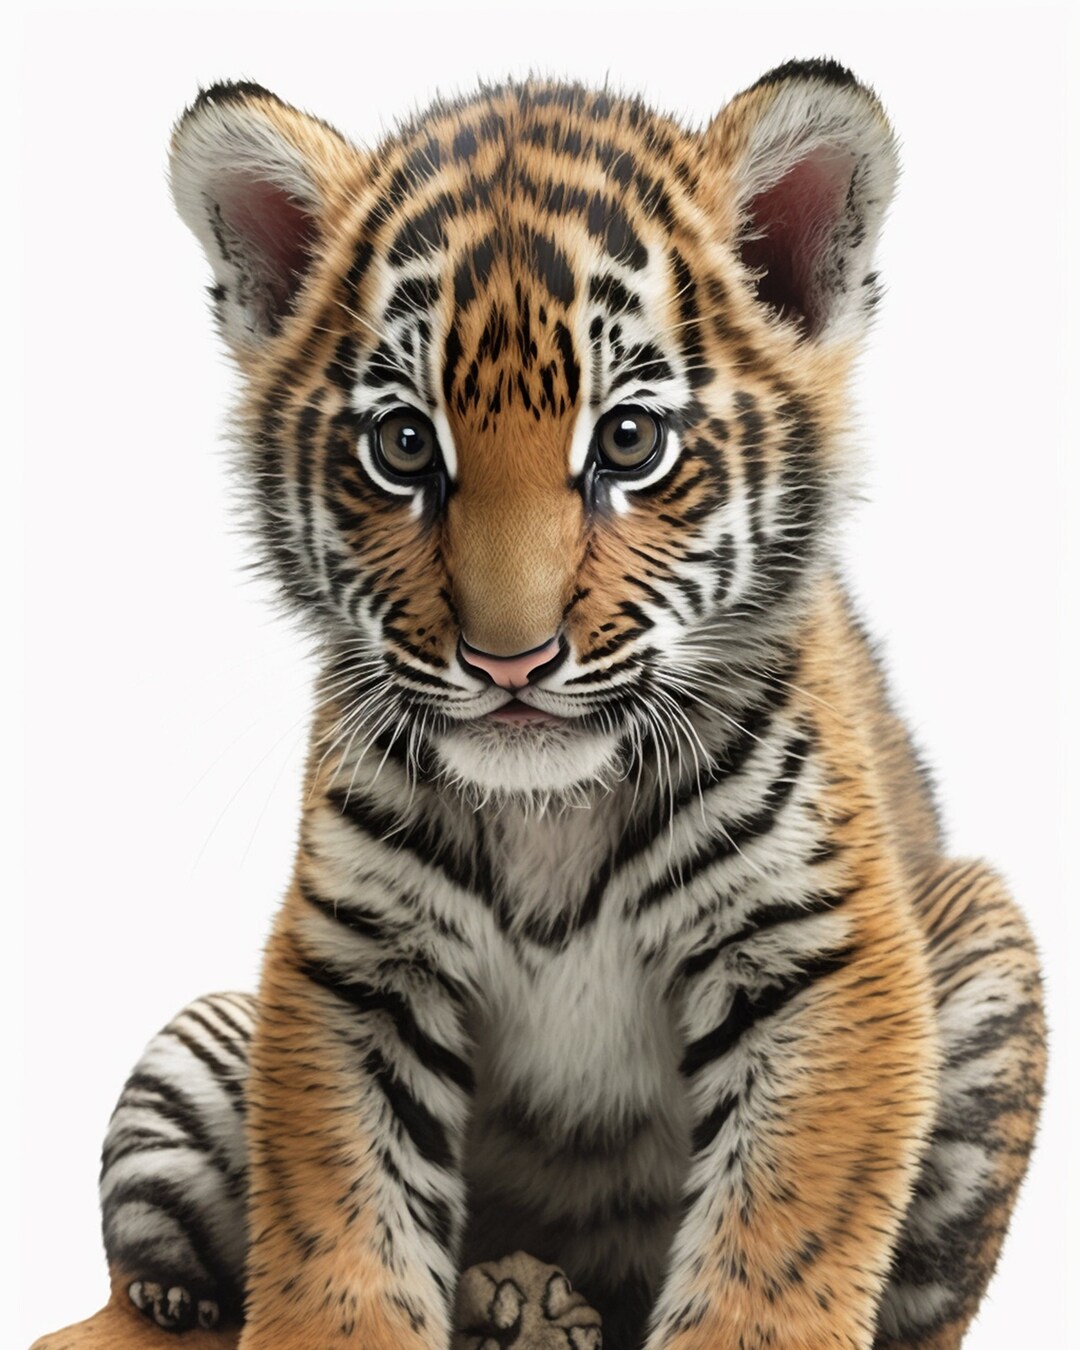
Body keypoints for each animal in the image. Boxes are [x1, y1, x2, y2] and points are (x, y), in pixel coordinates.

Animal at [31, 59, 1045, 1350]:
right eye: (405, 445)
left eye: (630, 438)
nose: (509, 661)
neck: (551, 811)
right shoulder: (356, 961)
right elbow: (338, 1244)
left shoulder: (817, 956)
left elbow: (771, 1261)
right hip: (199, 1045)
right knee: (147, 1282)